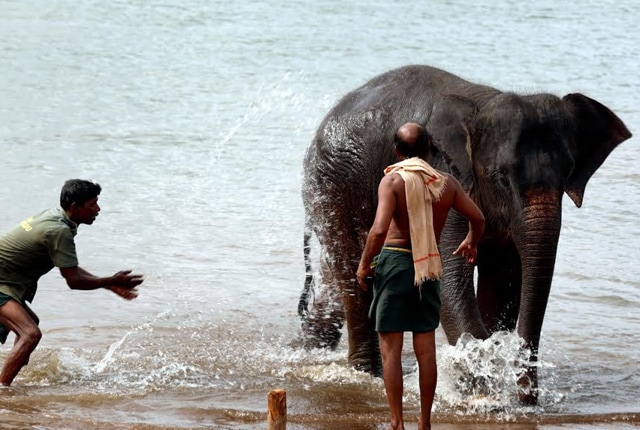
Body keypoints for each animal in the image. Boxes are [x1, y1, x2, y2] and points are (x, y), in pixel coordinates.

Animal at [298, 64, 631, 404]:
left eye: (566, 177)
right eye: (500, 177)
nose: (528, 397)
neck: (482, 106)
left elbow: (504, 278)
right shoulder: (444, 174)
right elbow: (447, 272)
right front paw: (484, 388)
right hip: (334, 187)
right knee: (354, 273)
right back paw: (367, 374)